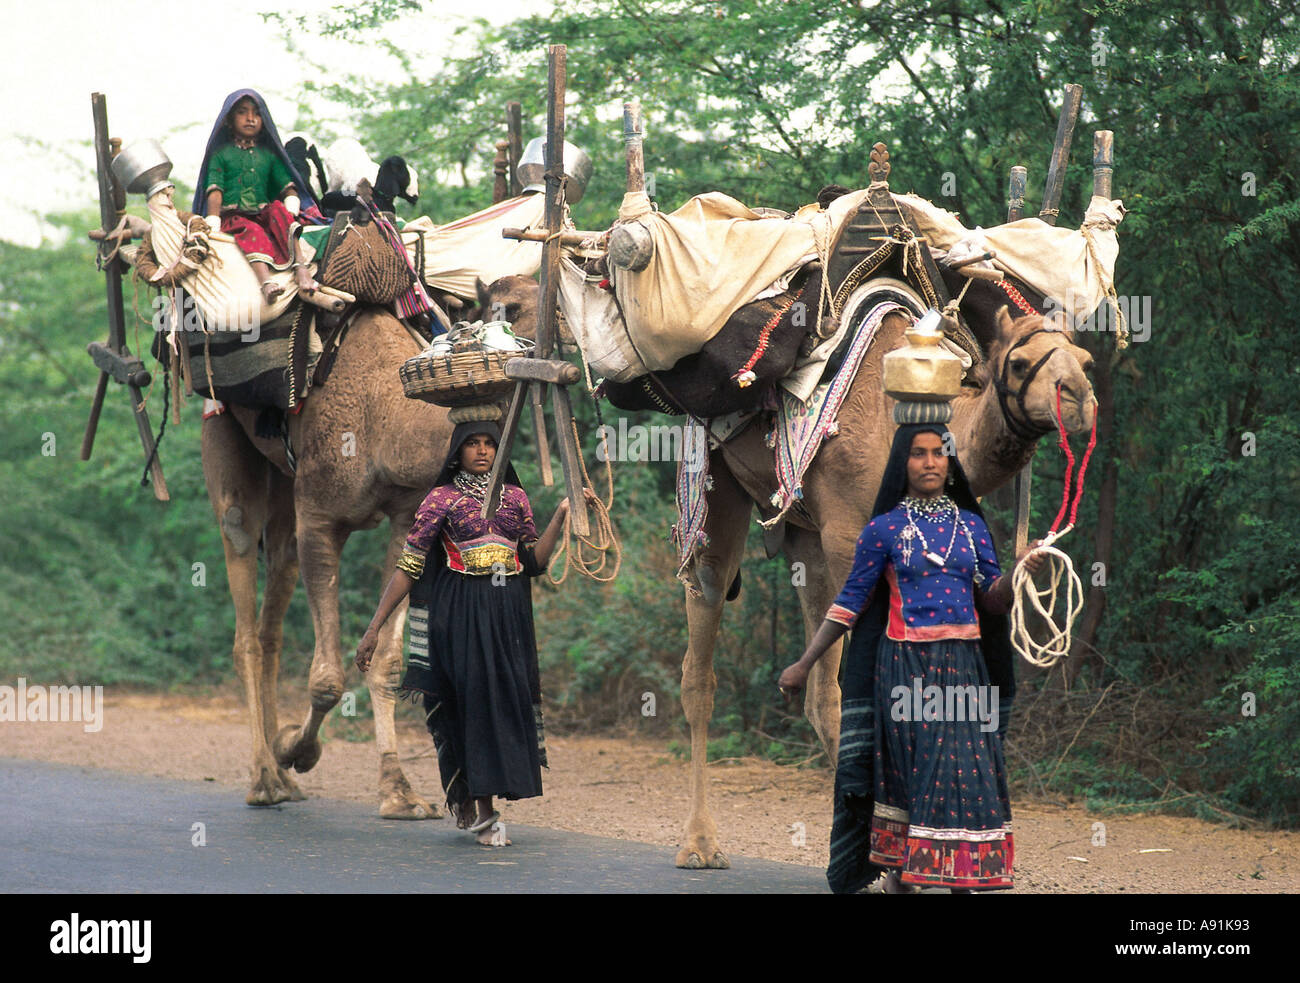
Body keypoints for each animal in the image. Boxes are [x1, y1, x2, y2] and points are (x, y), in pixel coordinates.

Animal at [203, 275, 539, 814]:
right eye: (510, 308)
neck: (387, 426)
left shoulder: (407, 515)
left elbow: (386, 661)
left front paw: (399, 791)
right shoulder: (319, 518)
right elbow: (326, 680)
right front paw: (299, 750)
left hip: (285, 491)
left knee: (274, 598)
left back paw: (283, 776)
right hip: (221, 423)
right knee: (240, 568)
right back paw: (265, 777)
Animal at [672, 294, 1097, 869]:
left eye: (1086, 359)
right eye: (1018, 363)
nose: (1080, 398)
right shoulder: (849, 534)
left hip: (806, 537)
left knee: (815, 690)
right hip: (713, 482)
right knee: (706, 660)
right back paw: (701, 844)